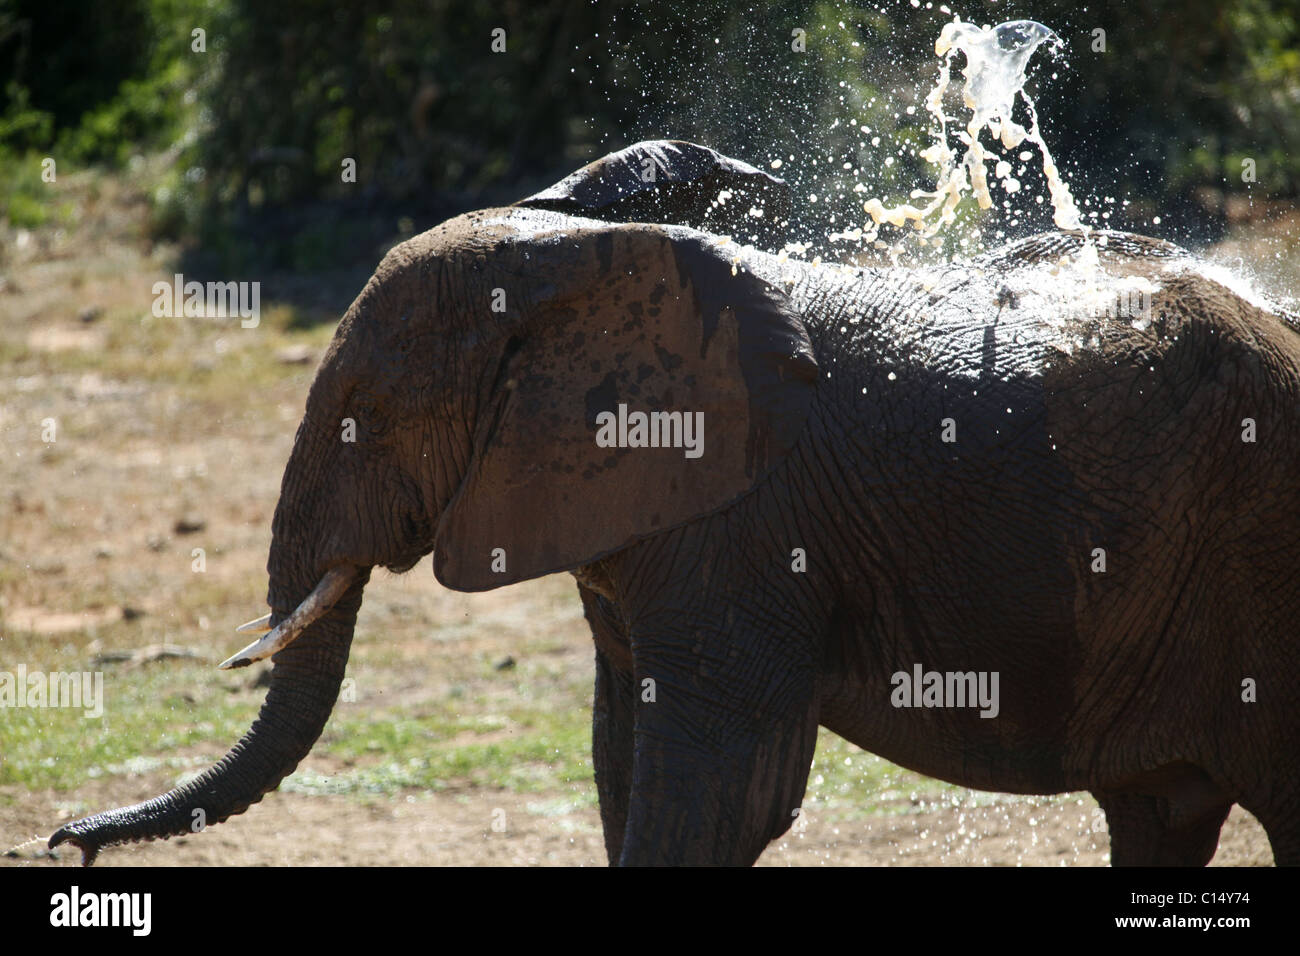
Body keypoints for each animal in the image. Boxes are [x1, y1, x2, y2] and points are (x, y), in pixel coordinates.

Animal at [50, 139, 1300, 866]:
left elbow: (720, 790)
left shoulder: (741, 537)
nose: (68, 841)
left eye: (359, 410)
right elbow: (622, 756)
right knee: (1158, 814)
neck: (575, 264)